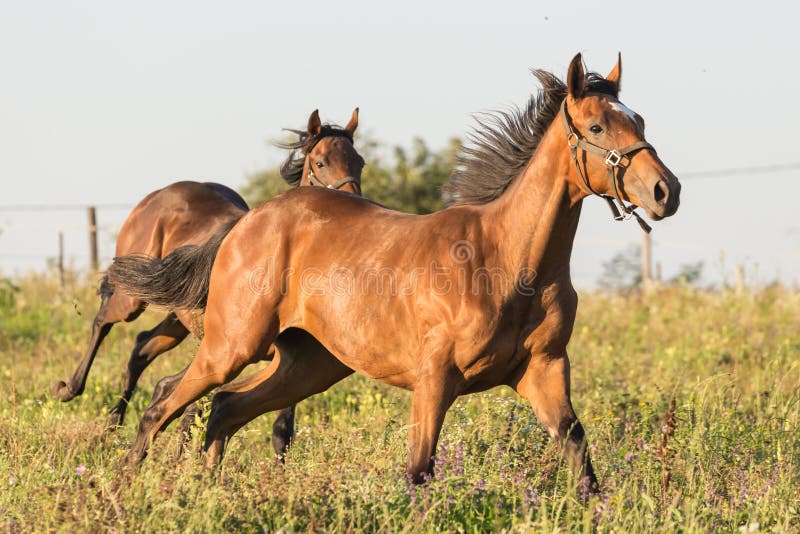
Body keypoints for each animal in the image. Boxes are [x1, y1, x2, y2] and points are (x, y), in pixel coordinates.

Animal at [54, 108, 363, 456]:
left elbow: (279, 424)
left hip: (178, 318)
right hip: (133, 298)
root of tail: (158, 195)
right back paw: (72, 392)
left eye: (359, 162)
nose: (353, 208)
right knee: (103, 321)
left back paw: (112, 423)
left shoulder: (291, 354)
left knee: (141, 348)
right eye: (321, 162)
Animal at [110, 54, 681, 497]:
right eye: (597, 127)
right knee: (164, 402)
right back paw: (122, 490)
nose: (665, 191)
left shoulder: (544, 370)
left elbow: (580, 456)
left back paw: (205, 493)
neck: (507, 262)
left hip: (309, 365)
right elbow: (419, 469)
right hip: (233, 345)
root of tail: (245, 223)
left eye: (640, 120)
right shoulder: (435, 378)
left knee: (224, 409)